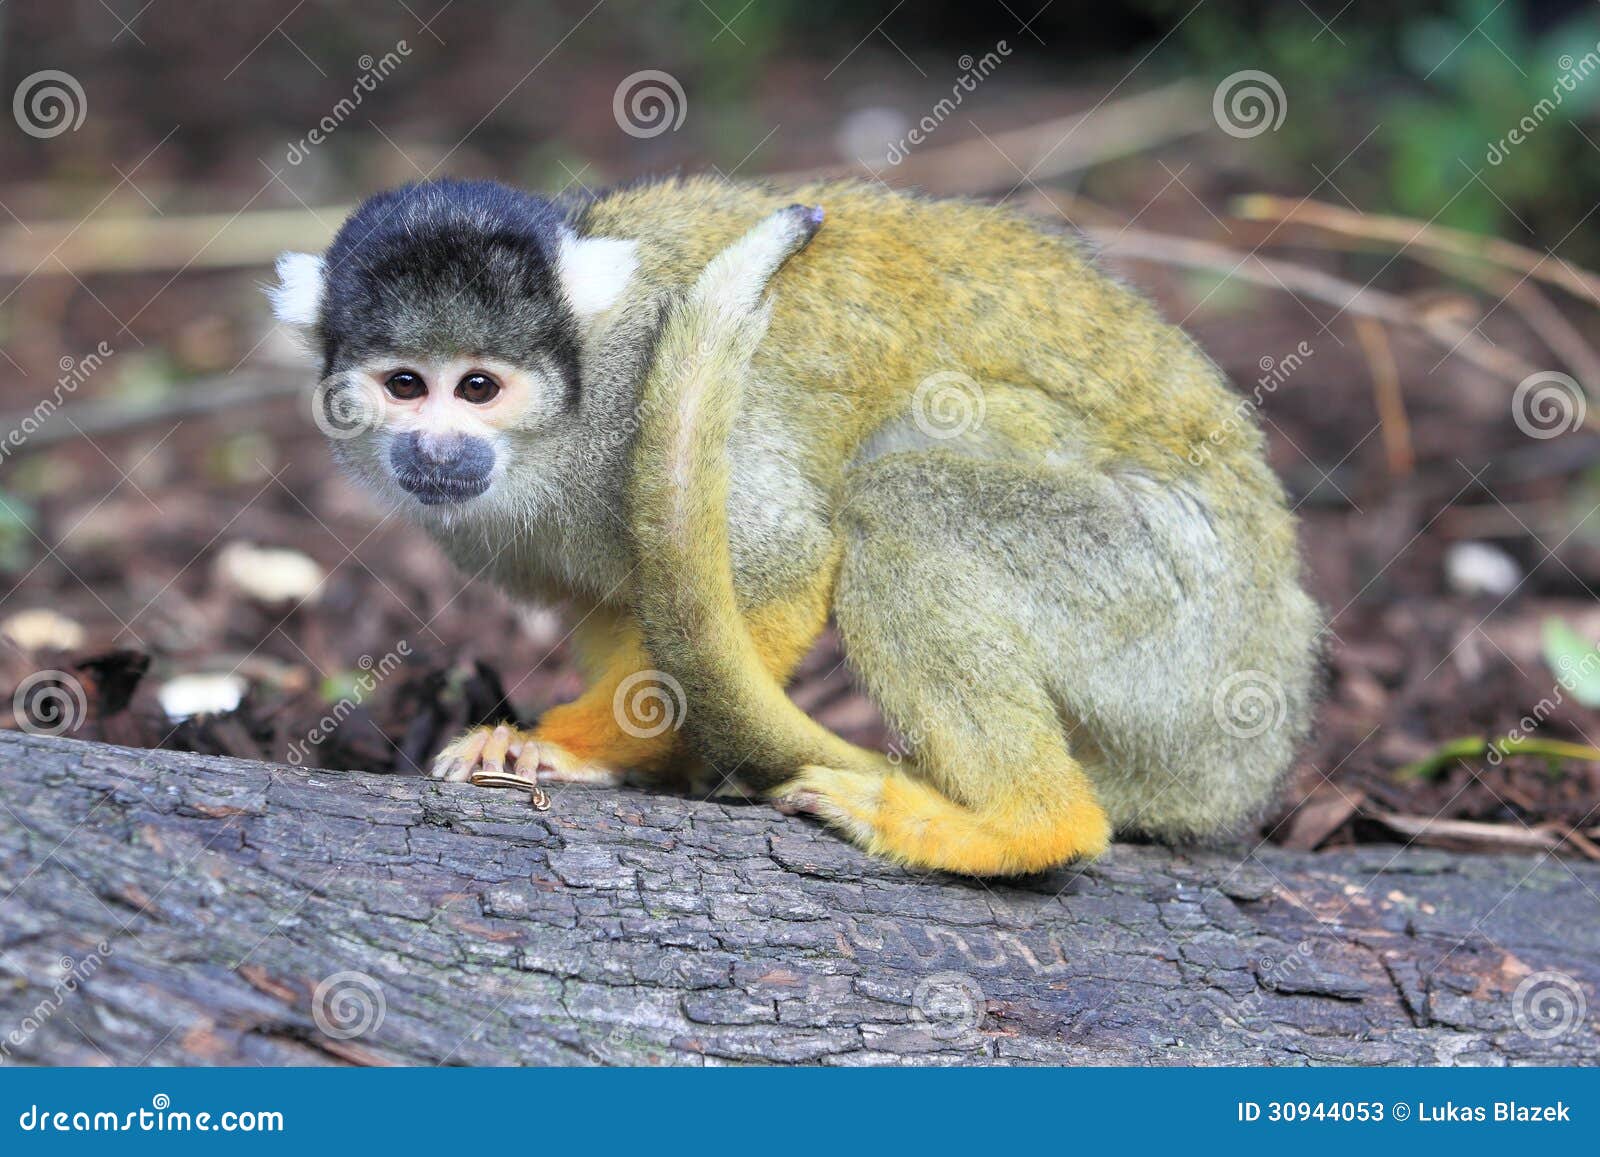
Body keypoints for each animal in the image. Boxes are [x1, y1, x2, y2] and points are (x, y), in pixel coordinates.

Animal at [269, 174, 1320, 878]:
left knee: (904, 499)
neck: (565, 418)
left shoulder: (632, 403)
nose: (438, 448)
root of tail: (1244, 765)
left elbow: (778, 565)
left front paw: (566, 750)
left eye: (479, 387)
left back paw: (1021, 825)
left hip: (1171, 625)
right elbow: (621, 608)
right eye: (407, 384)